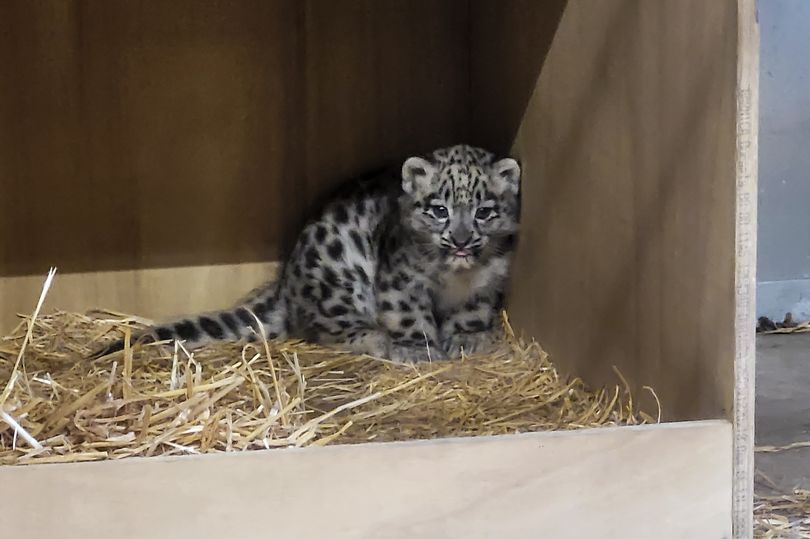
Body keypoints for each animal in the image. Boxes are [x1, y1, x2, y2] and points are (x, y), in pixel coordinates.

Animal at [93, 144, 521, 362]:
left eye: (484, 211)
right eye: (439, 209)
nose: (461, 241)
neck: (455, 277)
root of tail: (286, 285)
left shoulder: (488, 281)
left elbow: (471, 314)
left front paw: (467, 339)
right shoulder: (402, 281)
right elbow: (409, 317)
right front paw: (418, 349)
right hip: (340, 282)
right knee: (327, 328)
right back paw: (374, 339)